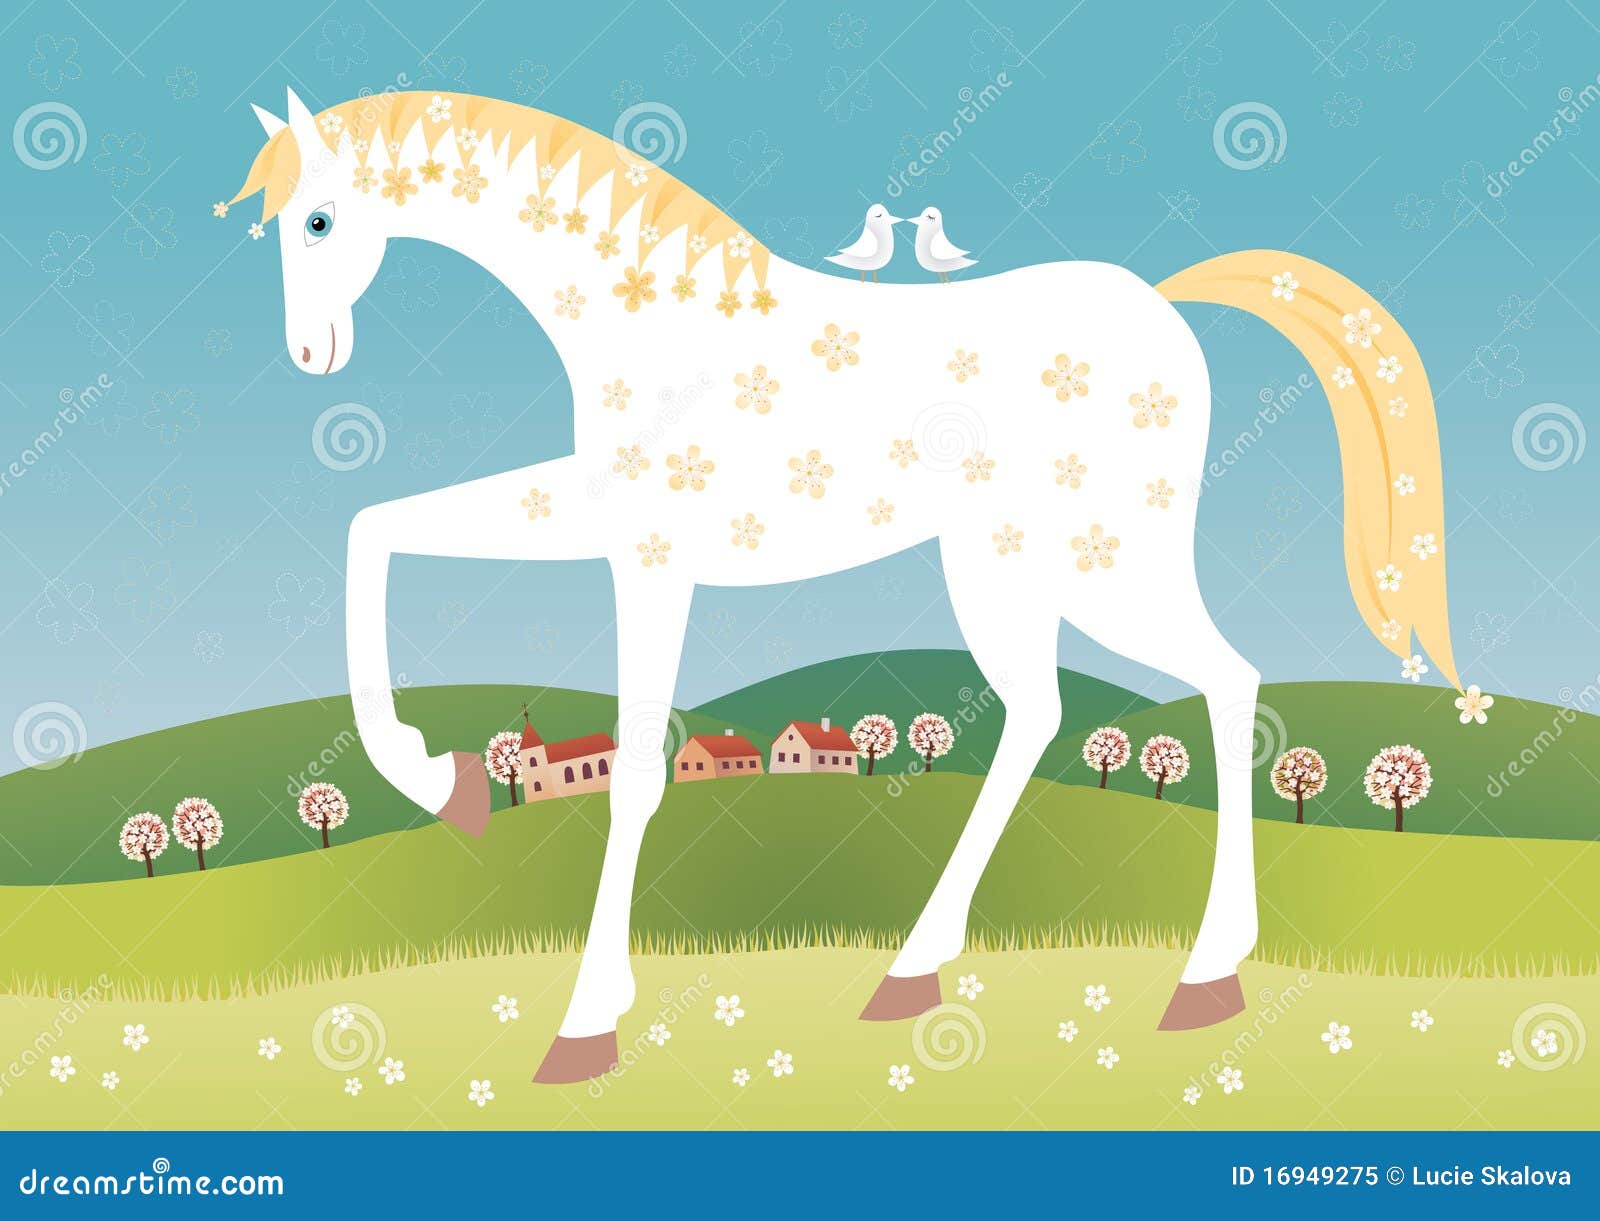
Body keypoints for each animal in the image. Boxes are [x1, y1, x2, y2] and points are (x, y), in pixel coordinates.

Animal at [226, 89, 1467, 1084]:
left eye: (318, 221)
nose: (309, 356)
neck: (645, 315)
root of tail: (1162, 302)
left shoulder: (644, 554)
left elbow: (632, 772)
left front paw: (583, 1027)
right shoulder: (594, 523)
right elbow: (376, 530)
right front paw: (443, 781)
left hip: (1109, 554)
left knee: (1224, 678)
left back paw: (1203, 979)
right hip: (1001, 558)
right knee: (1041, 712)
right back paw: (914, 972)